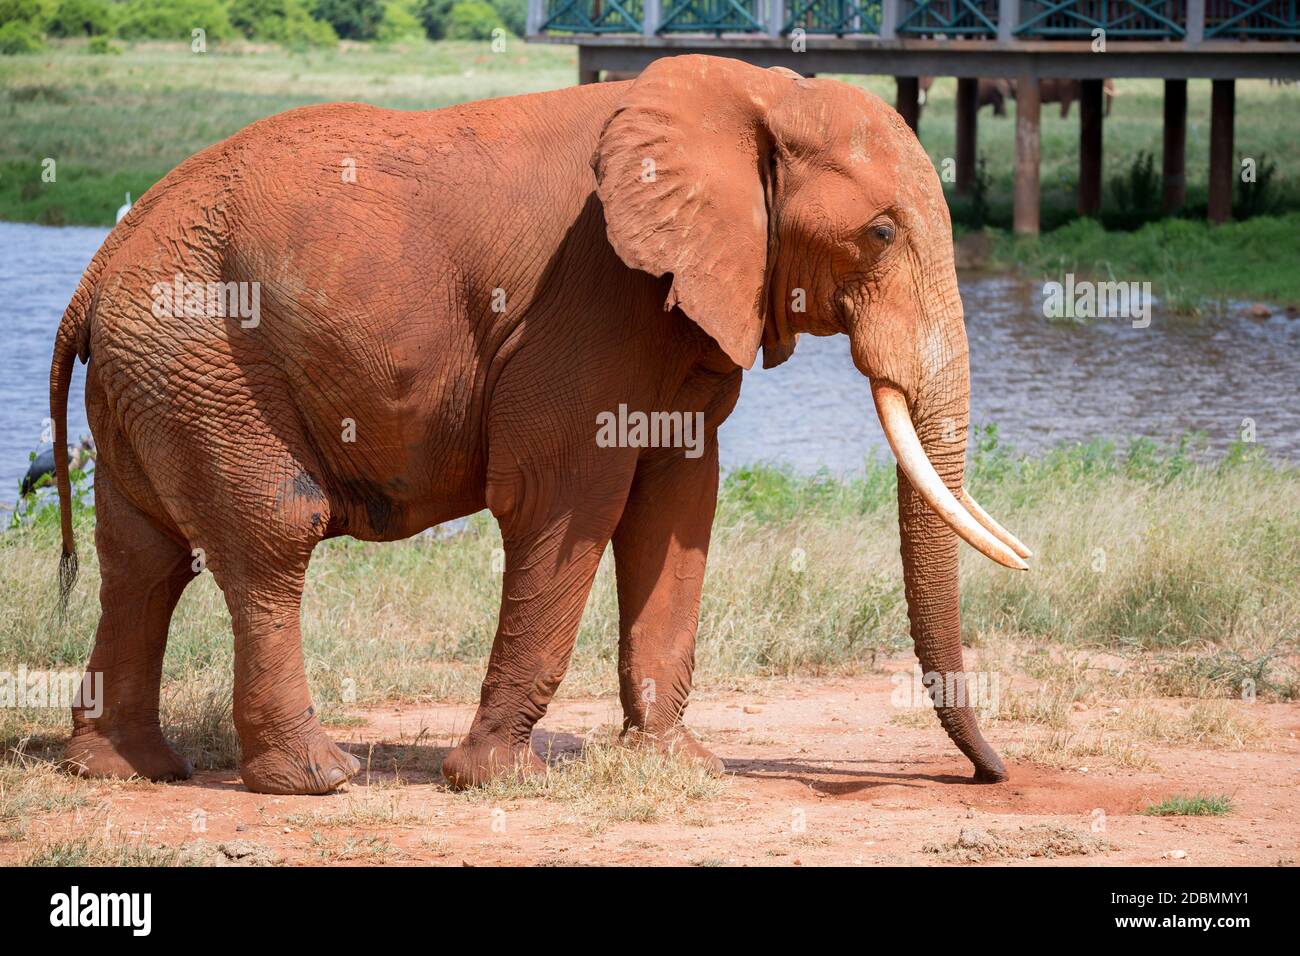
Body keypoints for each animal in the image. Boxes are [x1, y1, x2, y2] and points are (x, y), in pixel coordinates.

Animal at [49, 54, 1030, 796]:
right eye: (880, 233)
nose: (993, 775)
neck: (752, 91)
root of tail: (94, 275)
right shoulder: (589, 296)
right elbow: (568, 502)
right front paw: (495, 780)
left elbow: (675, 508)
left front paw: (682, 767)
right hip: (204, 352)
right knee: (272, 533)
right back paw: (316, 780)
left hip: (158, 372)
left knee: (140, 559)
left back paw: (123, 770)